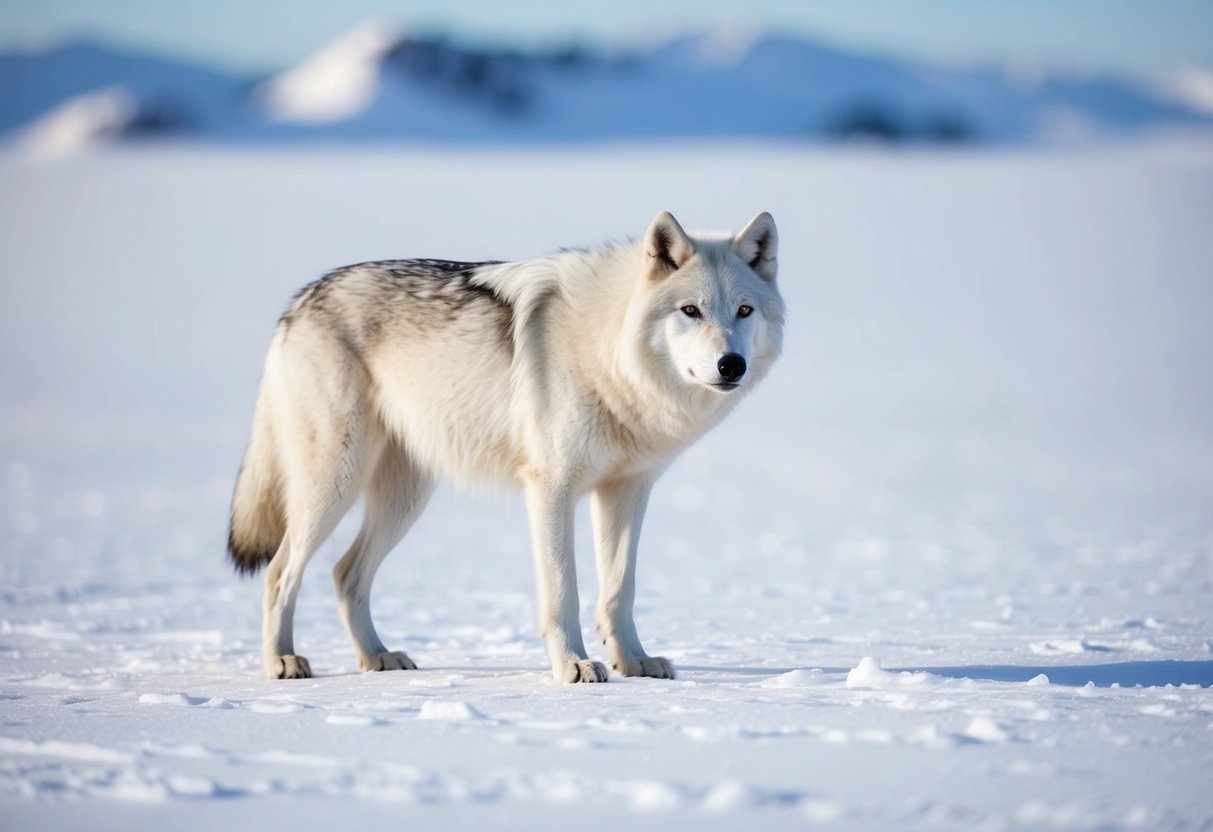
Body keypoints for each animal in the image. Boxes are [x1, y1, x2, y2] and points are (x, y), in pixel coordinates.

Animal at [228, 211, 784, 683]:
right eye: (690, 311)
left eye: (744, 311)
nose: (731, 365)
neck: (606, 350)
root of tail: (300, 300)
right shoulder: (551, 489)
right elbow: (563, 592)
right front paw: (574, 667)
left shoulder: (627, 492)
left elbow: (619, 592)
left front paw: (635, 663)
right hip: (334, 484)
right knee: (279, 572)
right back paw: (281, 662)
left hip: (405, 498)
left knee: (345, 573)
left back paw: (378, 657)